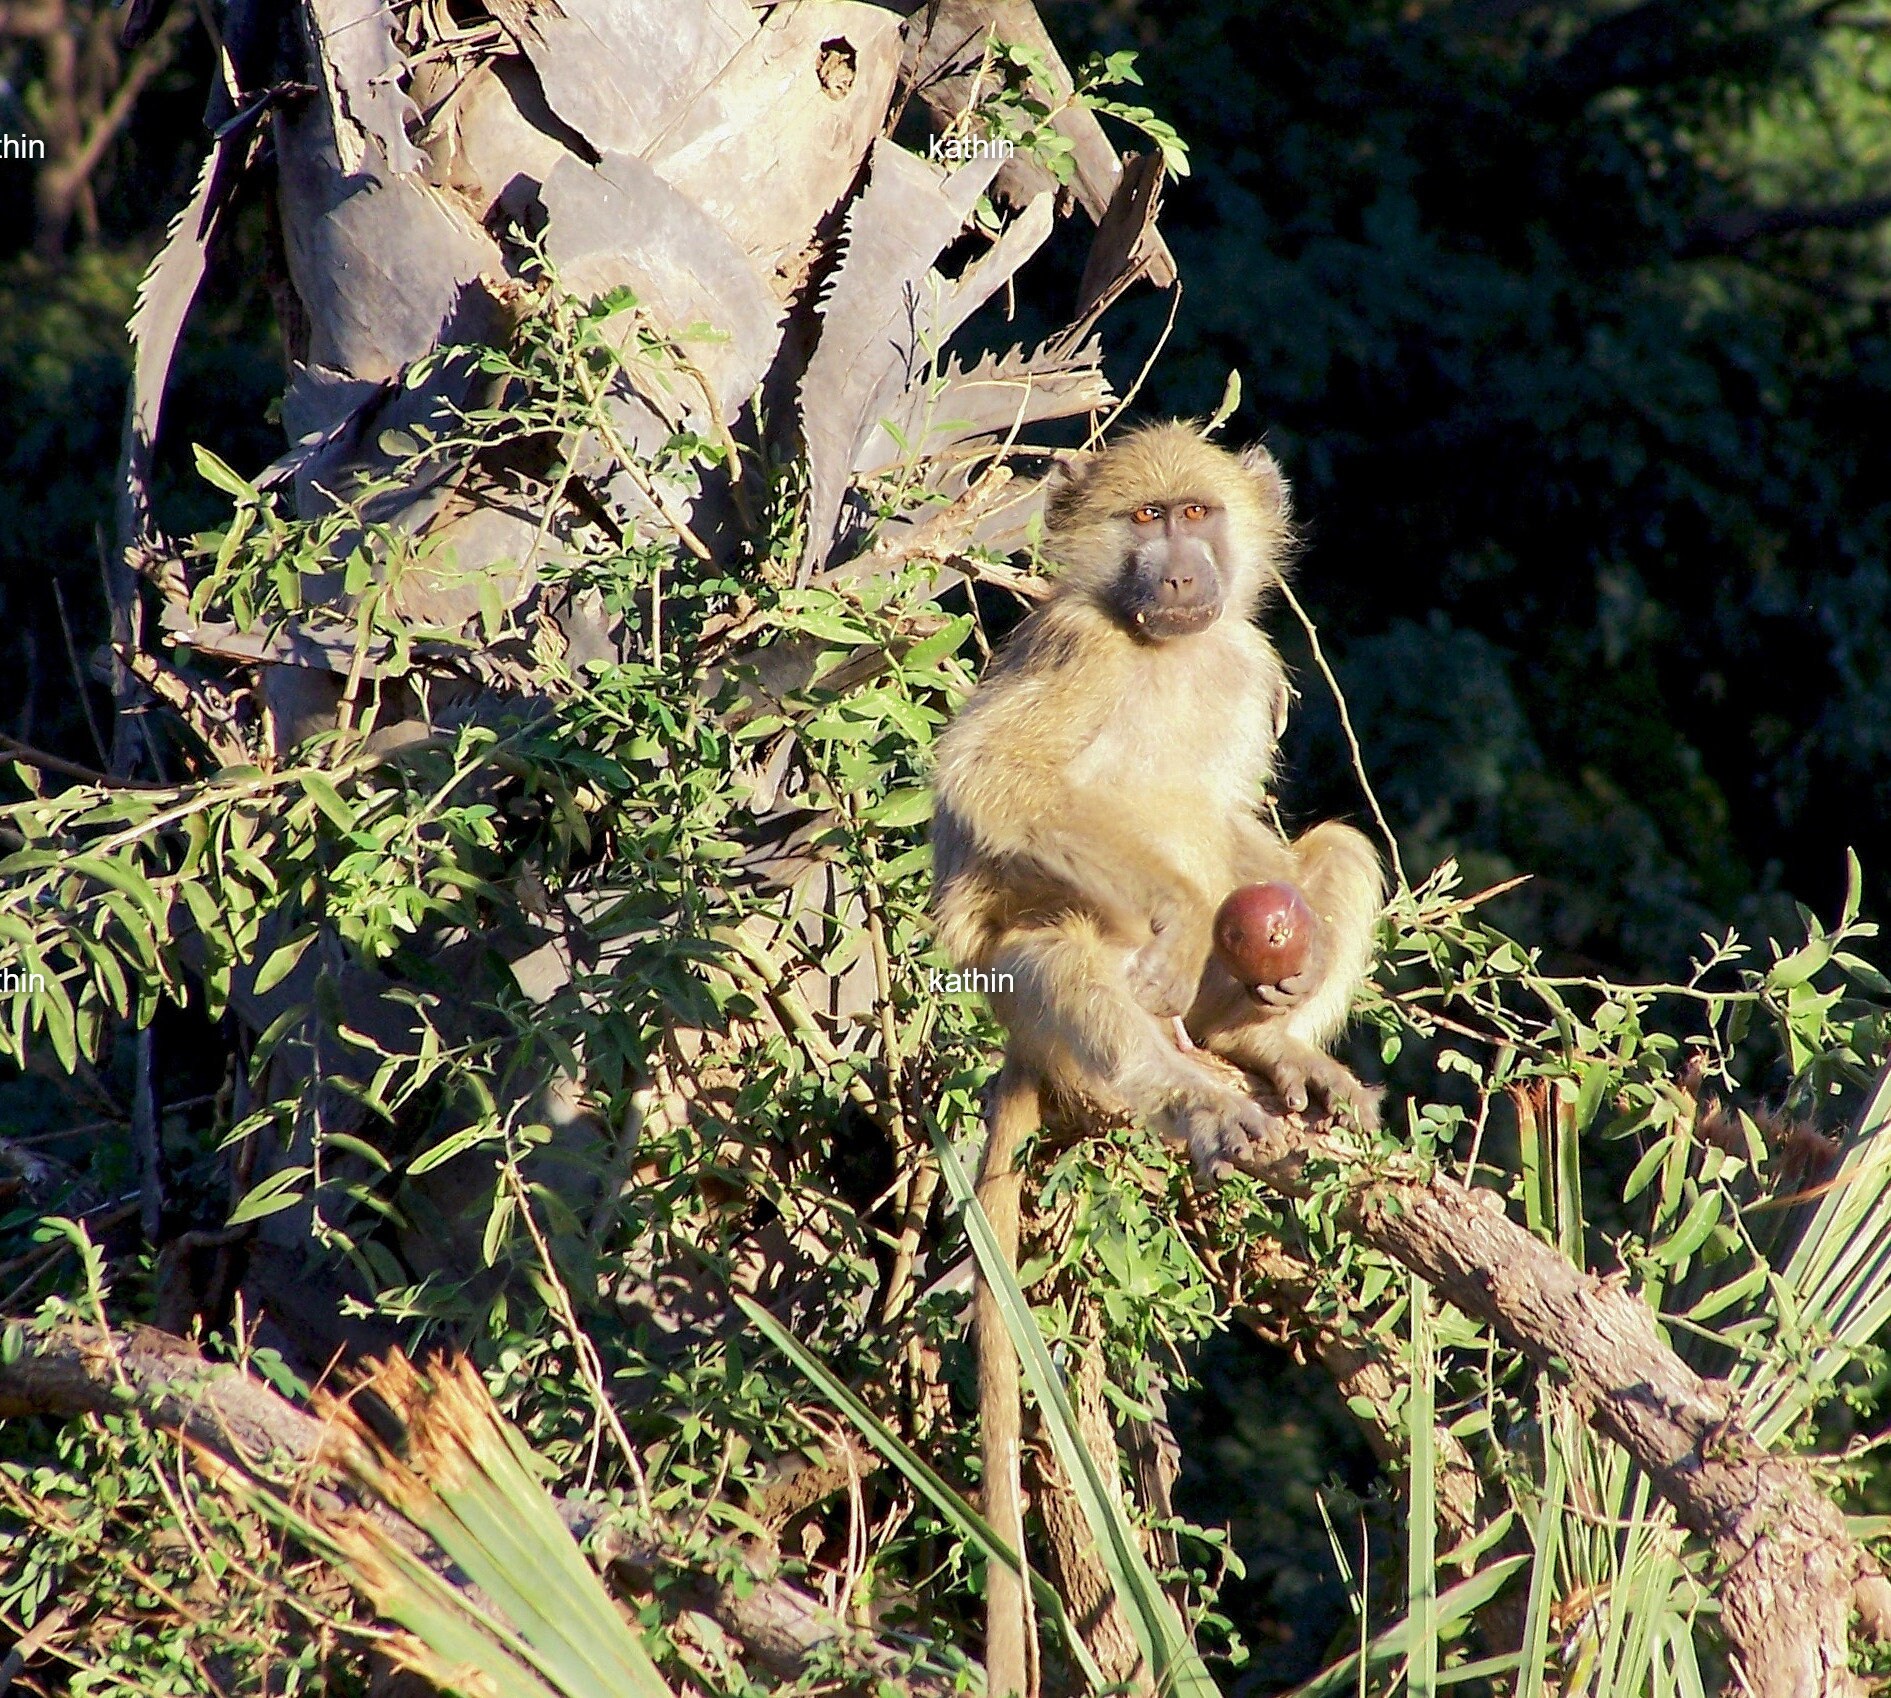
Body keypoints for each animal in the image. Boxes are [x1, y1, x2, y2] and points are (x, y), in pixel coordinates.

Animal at [928, 422, 1385, 1691]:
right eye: (1143, 521)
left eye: (1195, 513)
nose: (1179, 570)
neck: (1165, 649)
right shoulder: (1075, 644)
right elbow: (991, 781)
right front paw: (1178, 917)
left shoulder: (1243, 658)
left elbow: (1247, 825)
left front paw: (1280, 986)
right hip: (1034, 997)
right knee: (1069, 957)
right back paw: (1184, 1092)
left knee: (1335, 852)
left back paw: (1259, 1045)